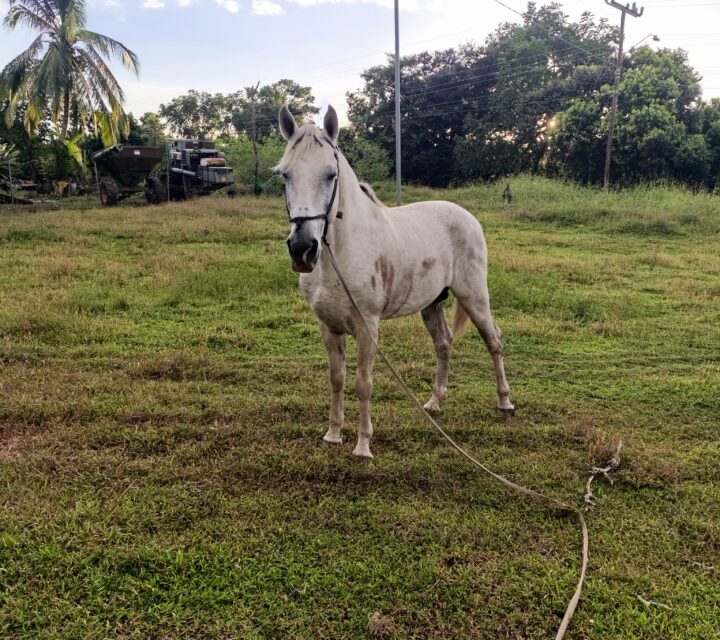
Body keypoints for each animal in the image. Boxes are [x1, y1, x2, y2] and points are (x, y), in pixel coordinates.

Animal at [276, 105, 514, 458]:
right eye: (285, 175)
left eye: (331, 175)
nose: (303, 249)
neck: (342, 256)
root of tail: (467, 216)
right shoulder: (328, 327)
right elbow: (337, 379)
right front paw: (333, 434)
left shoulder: (367, 327)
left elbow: (363, 384)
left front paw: (363, 445)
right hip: (432, 304)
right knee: (444, 343)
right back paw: (434, 401)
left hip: (474, 296)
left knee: (493, 340)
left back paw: (505, 401)